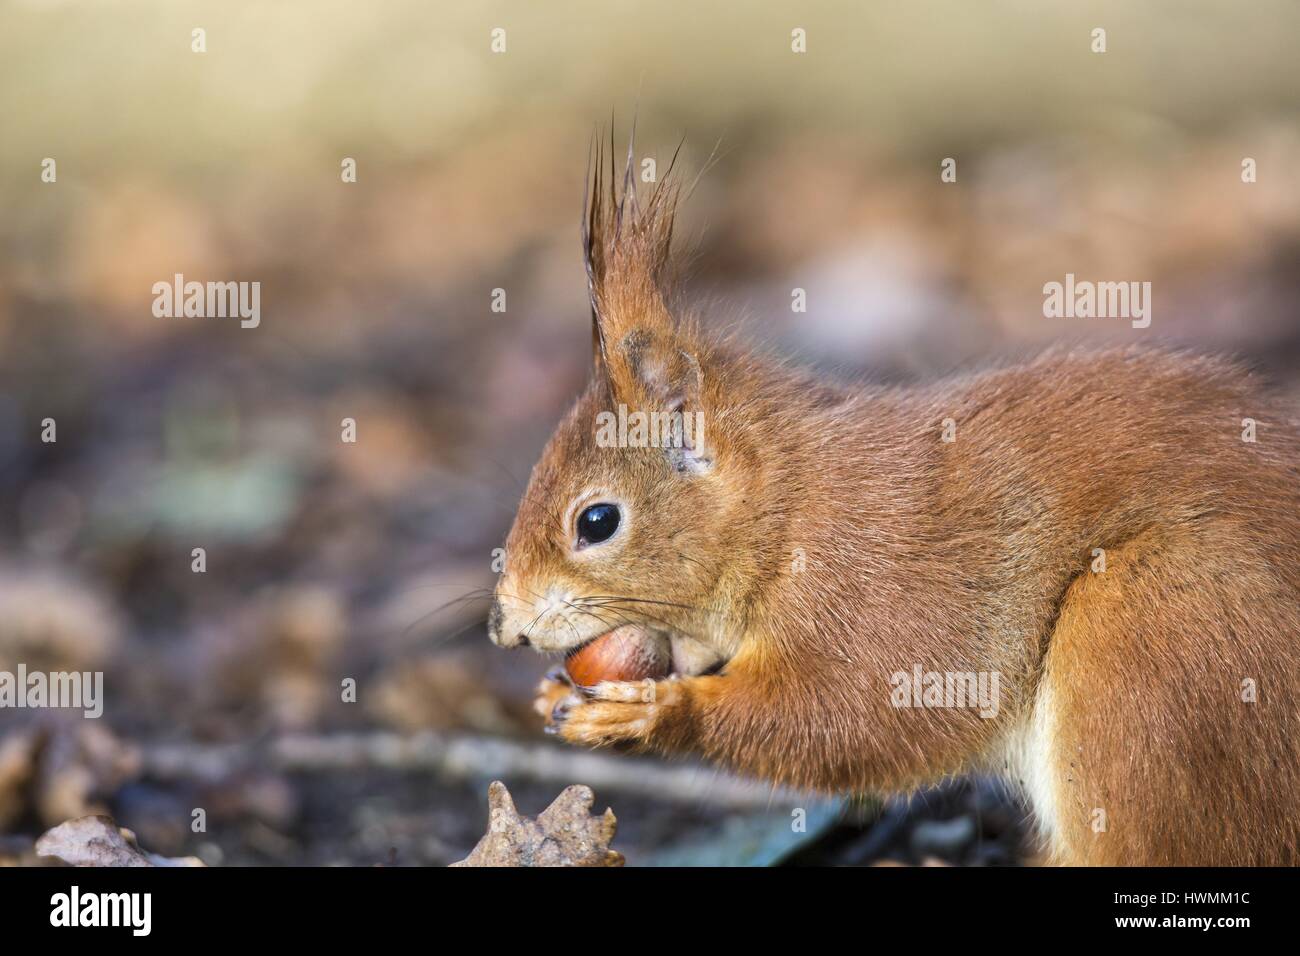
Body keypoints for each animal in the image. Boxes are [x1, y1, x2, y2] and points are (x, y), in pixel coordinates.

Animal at [487, 139, 1300, 866]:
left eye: (597, 522)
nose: (505, 627)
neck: (790, 512)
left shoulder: (881, 589)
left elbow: (856, 718)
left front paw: (649, 711)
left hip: (1155, 638)